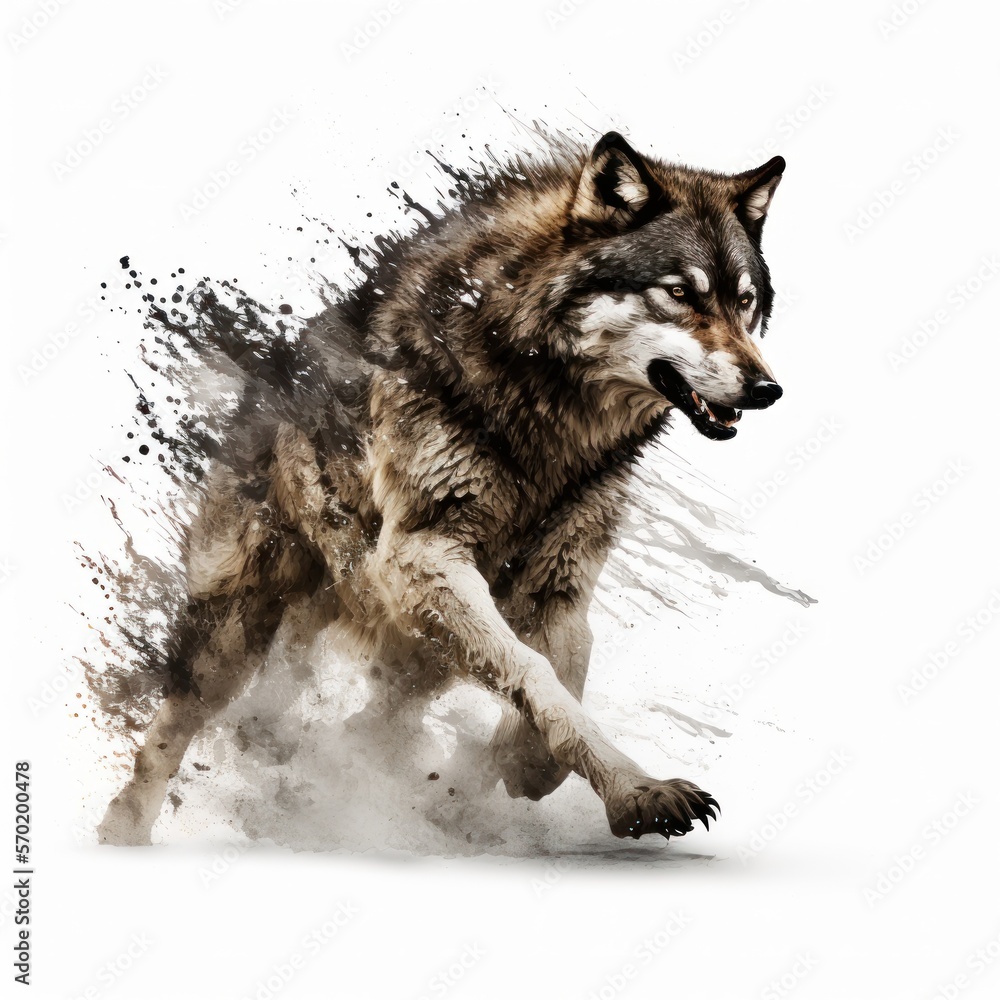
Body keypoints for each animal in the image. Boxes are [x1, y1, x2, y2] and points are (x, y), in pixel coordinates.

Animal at [97, 130, 787, 847]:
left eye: (744, 301)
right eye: (680, 293)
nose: (767, 389)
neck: (547, 419)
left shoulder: (556, 585)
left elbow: (567, 668)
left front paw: (532, 768)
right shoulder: (420, 556)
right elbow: (534, 670)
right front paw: (635, 792)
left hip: (412, 649)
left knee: (375, 715)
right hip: (239, 630)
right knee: (167, 737)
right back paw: (125, 832)